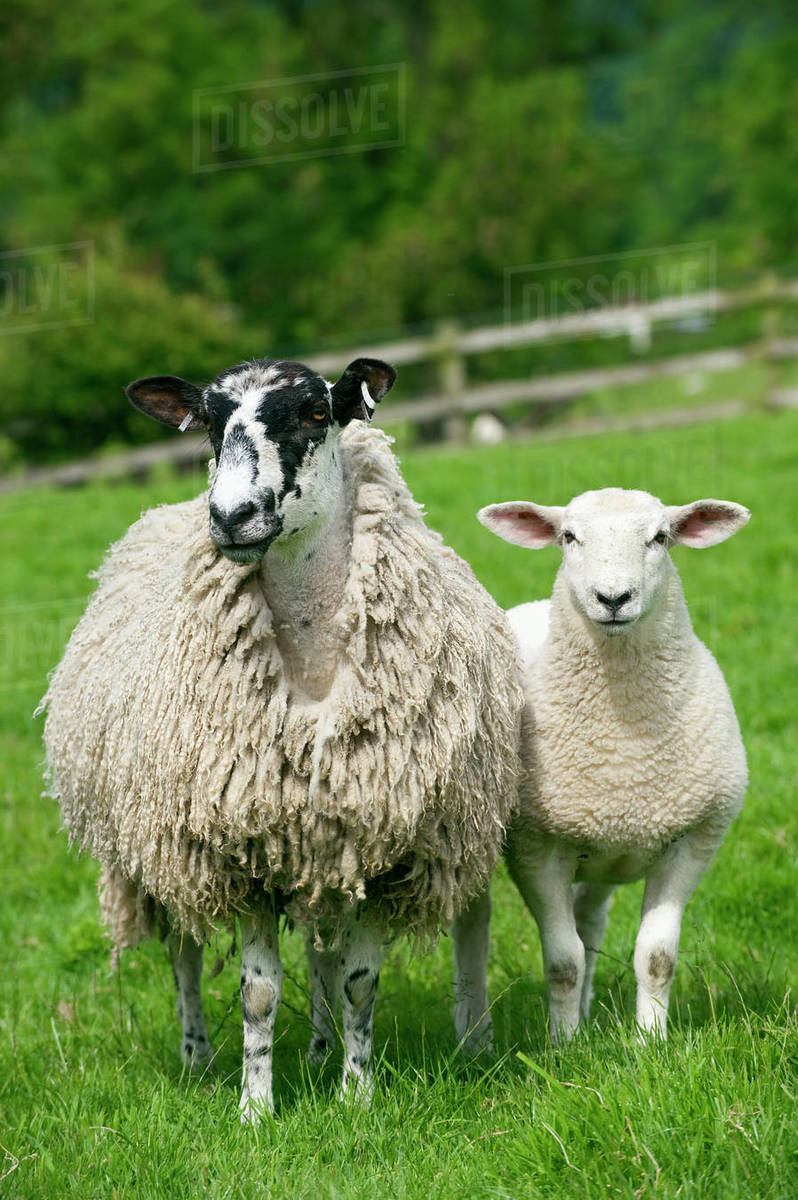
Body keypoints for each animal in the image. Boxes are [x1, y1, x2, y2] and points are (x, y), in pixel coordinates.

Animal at [39, 356, 523, 1121]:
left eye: (315, 412)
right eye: (209, 423)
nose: (230, 517)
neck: (313, 659)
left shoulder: (379, 845)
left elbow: (357, 980)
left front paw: (356, 1096)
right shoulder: (238, 854)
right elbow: (259, 993)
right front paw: (255, 1109)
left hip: (318, 847)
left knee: (323, 955)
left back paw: (324, 1050)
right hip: (160, 845)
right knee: (182, 950)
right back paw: (198, 1057)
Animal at [453, 487, 749, 1044]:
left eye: (660, 537)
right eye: (569, 536)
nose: (613, 599)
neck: (624, 745)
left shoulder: (693, 841)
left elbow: (656, 956)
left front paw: (650, 1043)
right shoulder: (536, 848)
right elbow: (562, 960)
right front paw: (563, 1046)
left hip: (601, 853)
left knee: (589, 921)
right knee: (472, 925)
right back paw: (474, 1032)